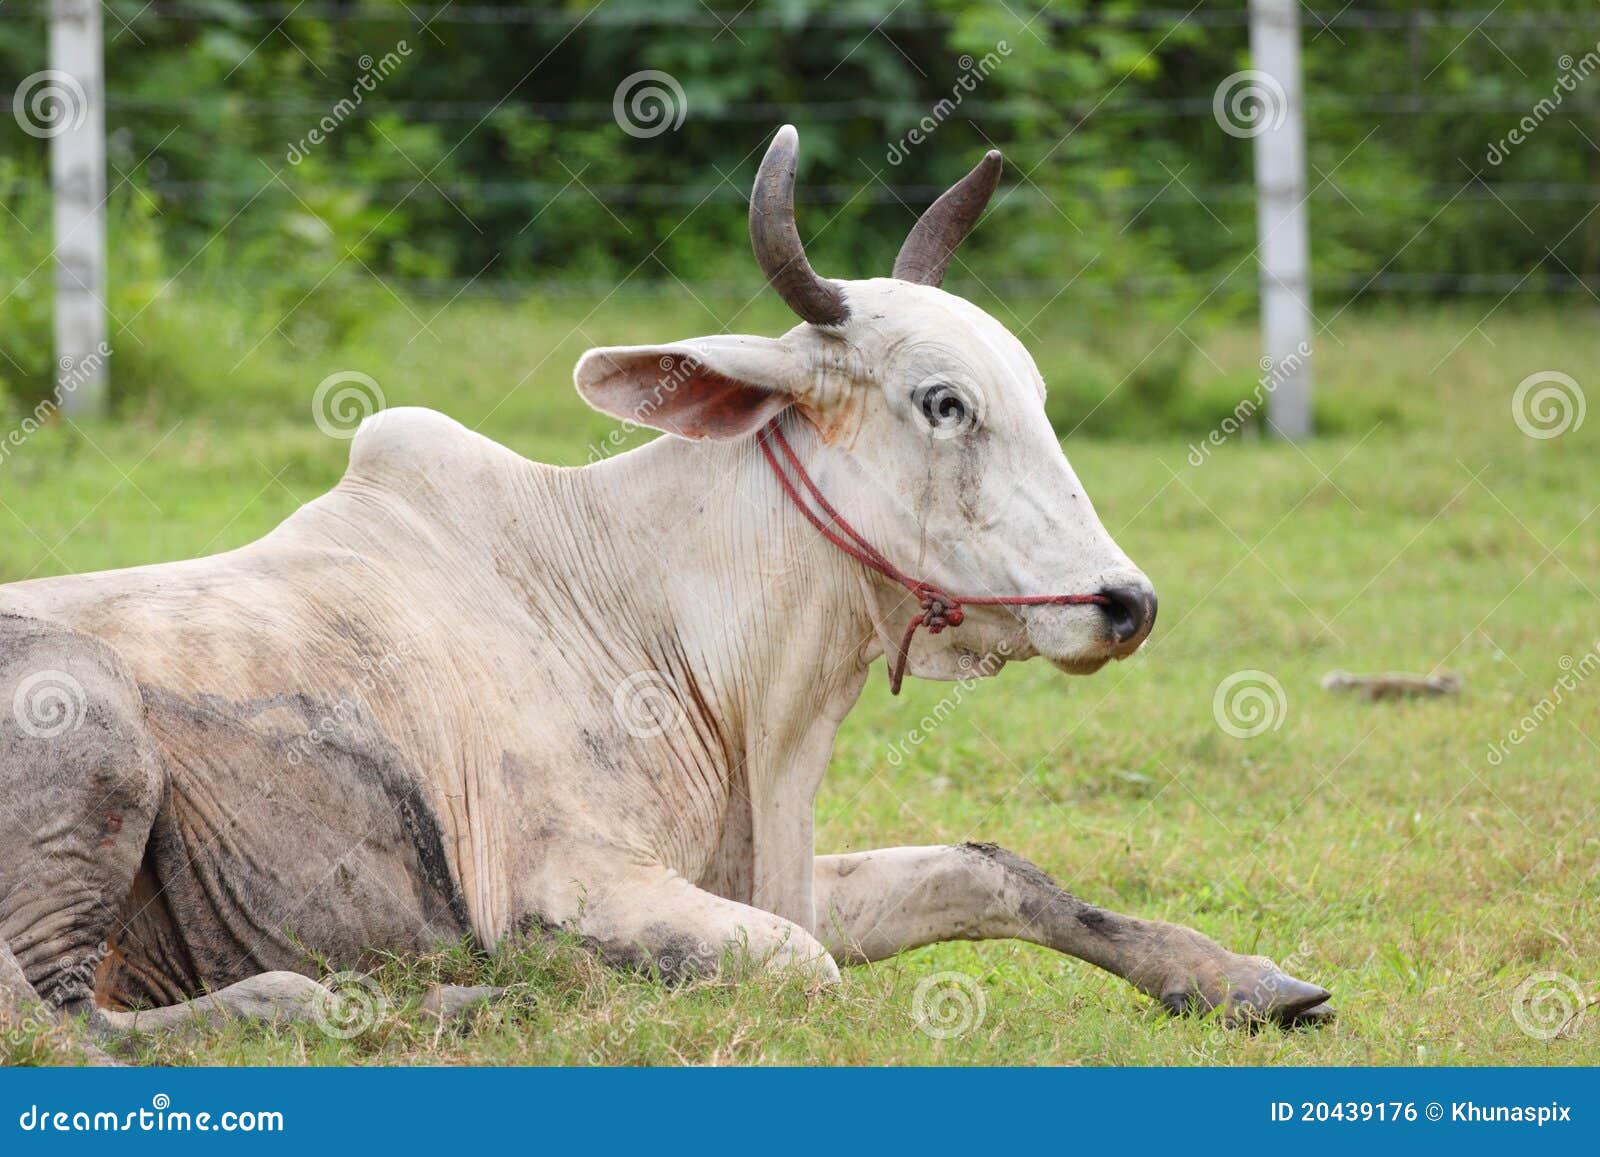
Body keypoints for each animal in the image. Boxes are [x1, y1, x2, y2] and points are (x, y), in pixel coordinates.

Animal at [0, 127, 1329, 1047]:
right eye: (944, 402)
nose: (1124, 601)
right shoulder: (577, 880)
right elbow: (800, 963)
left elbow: (989, 868)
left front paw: (1238, 978)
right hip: (93, 731)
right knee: (72, 1022)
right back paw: (427, 1001)